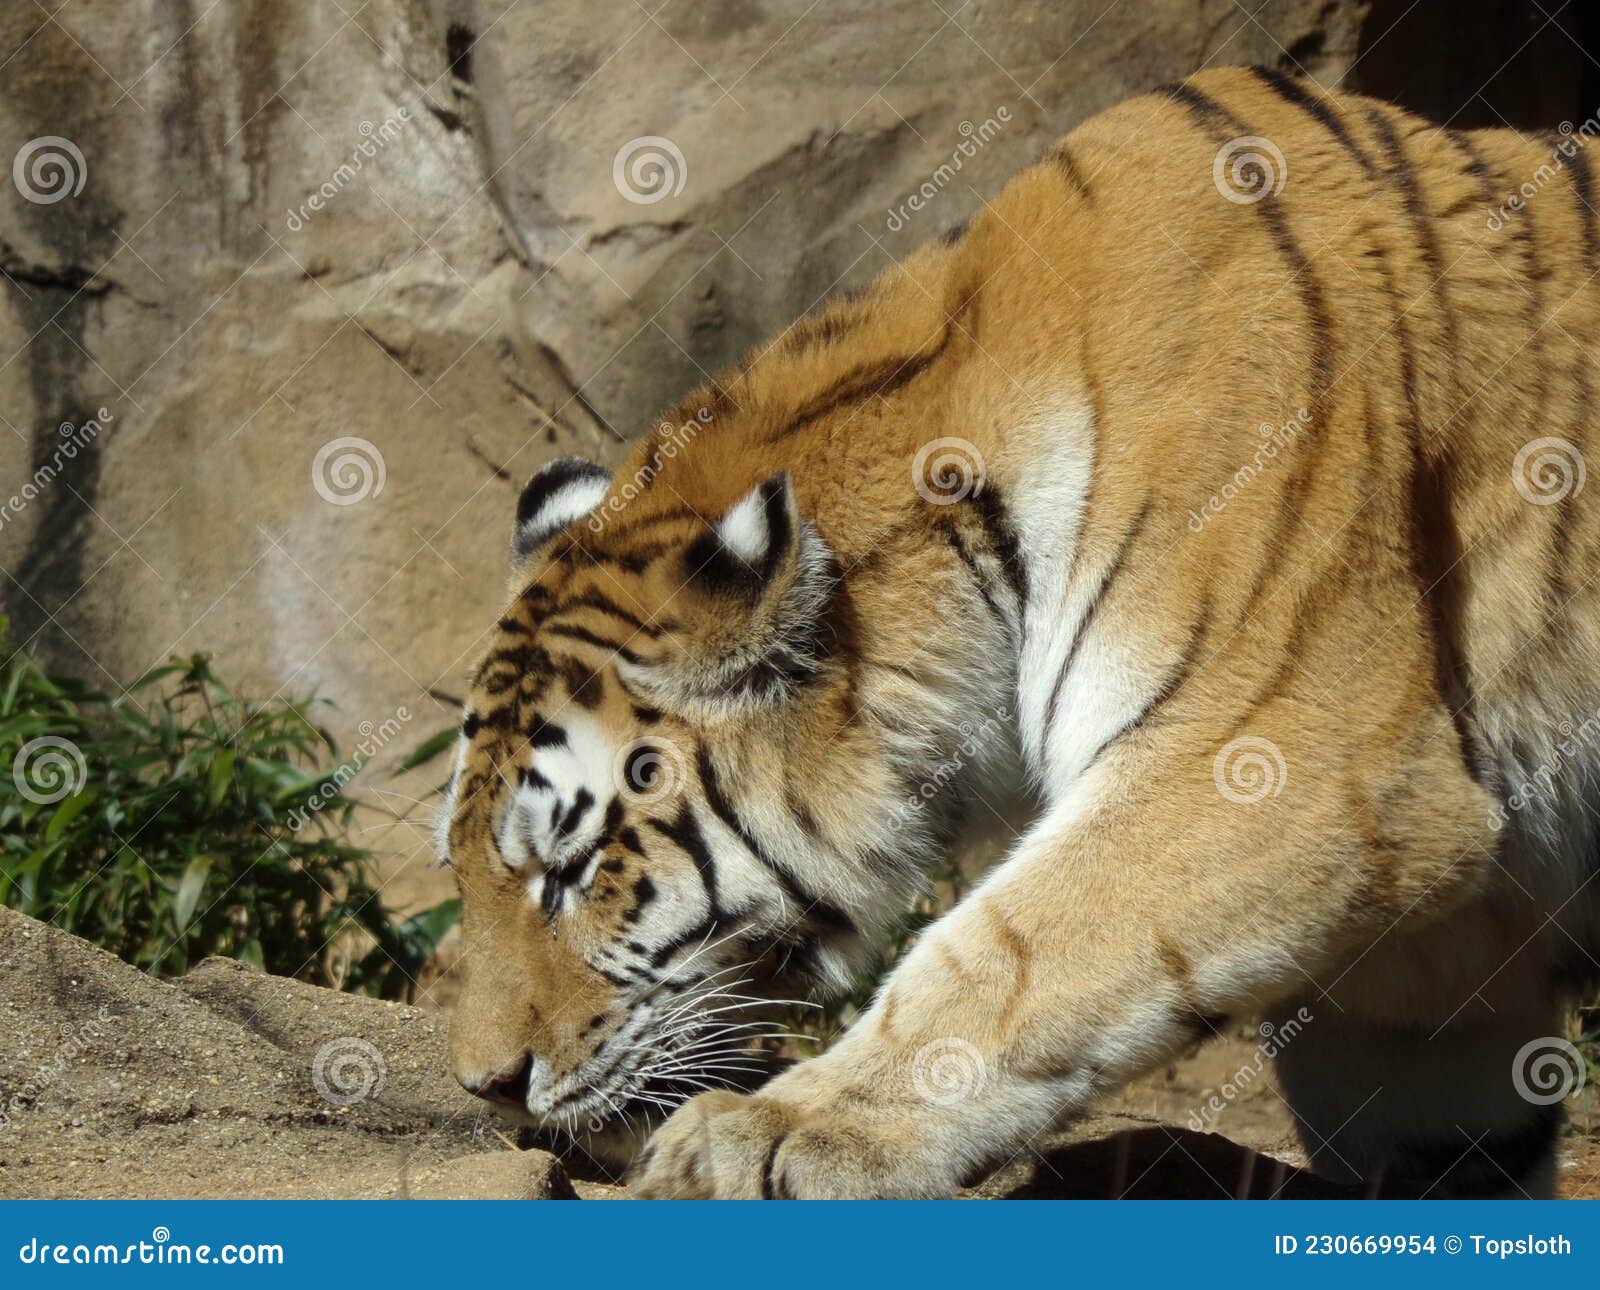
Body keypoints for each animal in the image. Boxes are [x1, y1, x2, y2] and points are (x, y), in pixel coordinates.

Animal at [439, 65, 1600, 1198]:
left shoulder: (1294, 763)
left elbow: (1006, 952)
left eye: (570, 873)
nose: (487, 1086)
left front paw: (769, 1136)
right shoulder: (1428, 986)